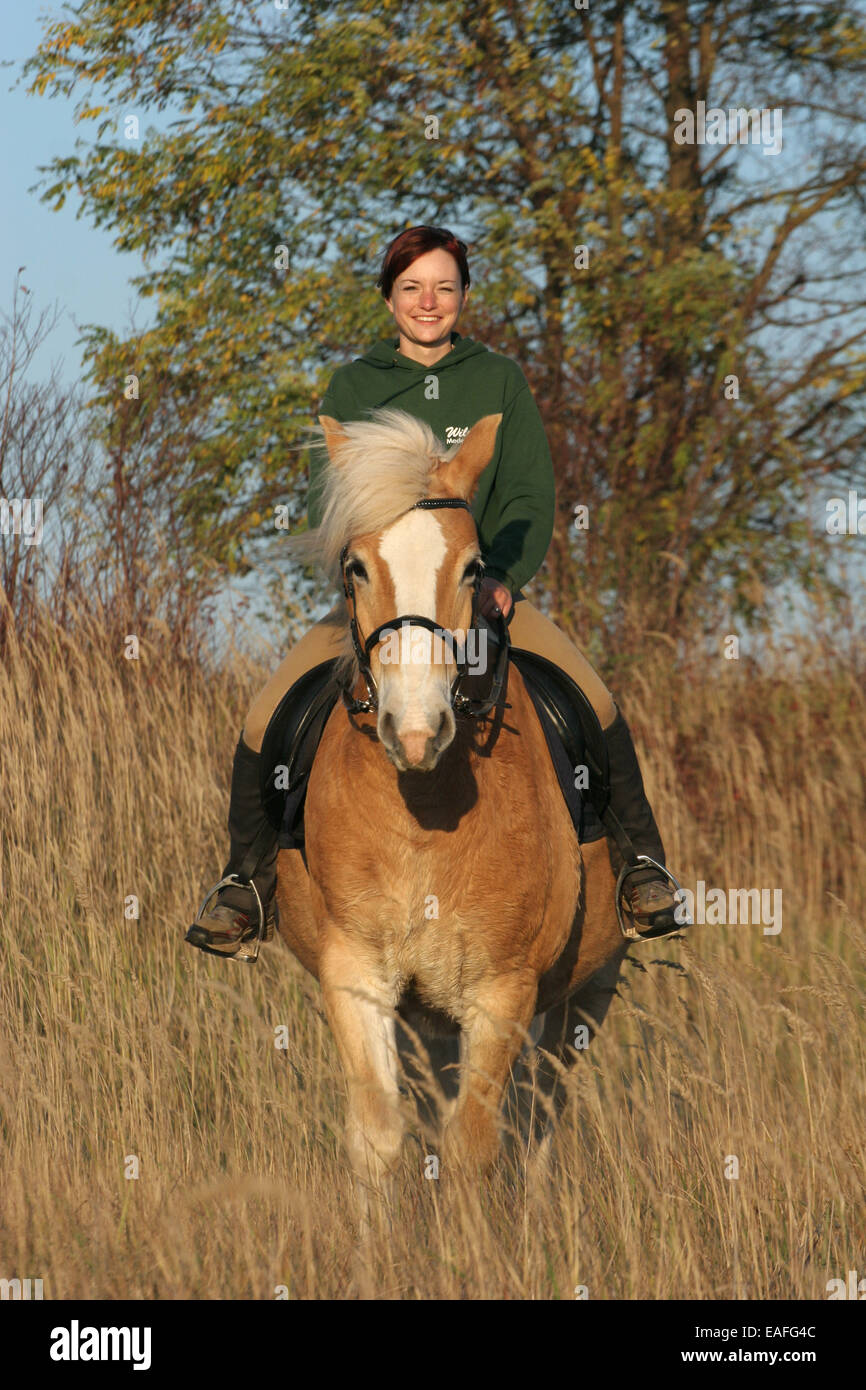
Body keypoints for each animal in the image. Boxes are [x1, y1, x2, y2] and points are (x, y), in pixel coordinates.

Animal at [276, 408, 628, 1206]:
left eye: (473, 569)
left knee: (535, 1121)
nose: (414, 731)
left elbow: (475, 1144)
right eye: (355, 566)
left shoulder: (502, 992)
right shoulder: (357, 975)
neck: (423, 813)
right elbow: (380, 1137)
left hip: (577, 1002)